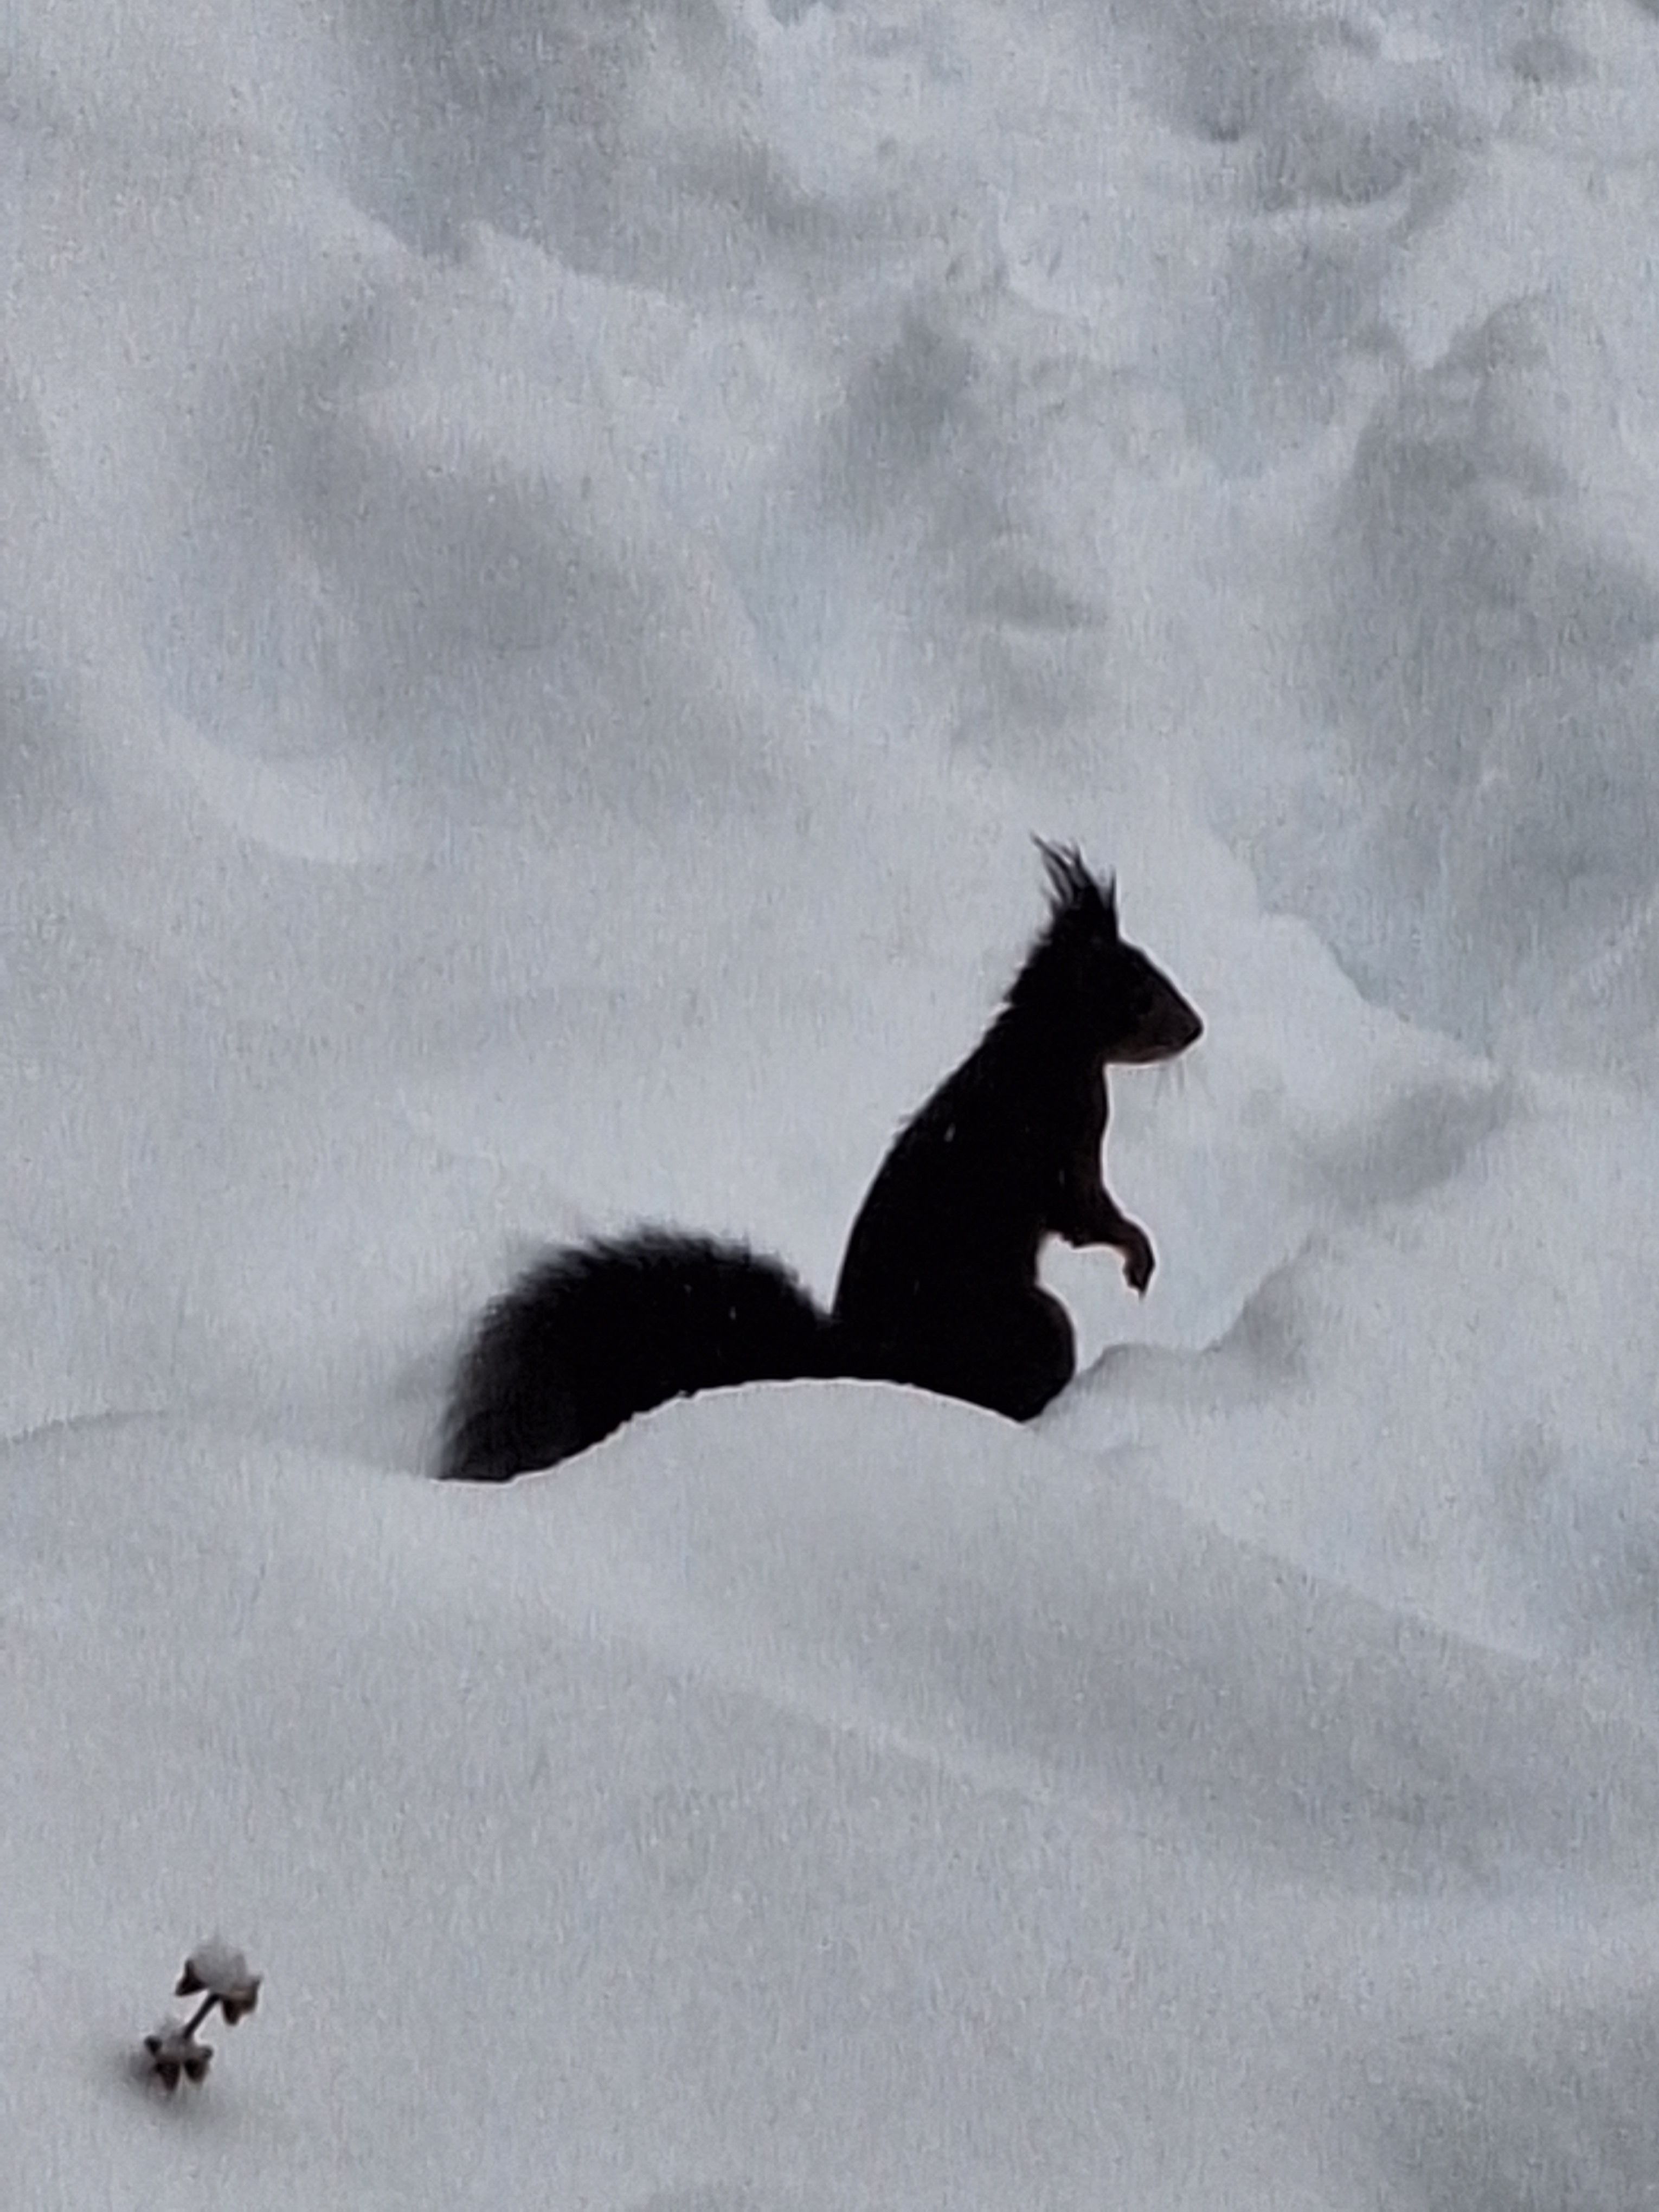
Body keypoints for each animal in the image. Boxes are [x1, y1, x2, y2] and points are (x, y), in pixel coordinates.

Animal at [439, 843, 1202, 1481]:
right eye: (1138, 992)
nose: (1195, 1028)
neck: (1045, 1044)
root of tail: (854, 1366)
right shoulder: (1063, 1137)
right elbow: (1086, 1212)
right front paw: (1138, 1255)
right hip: (1027, 1325)